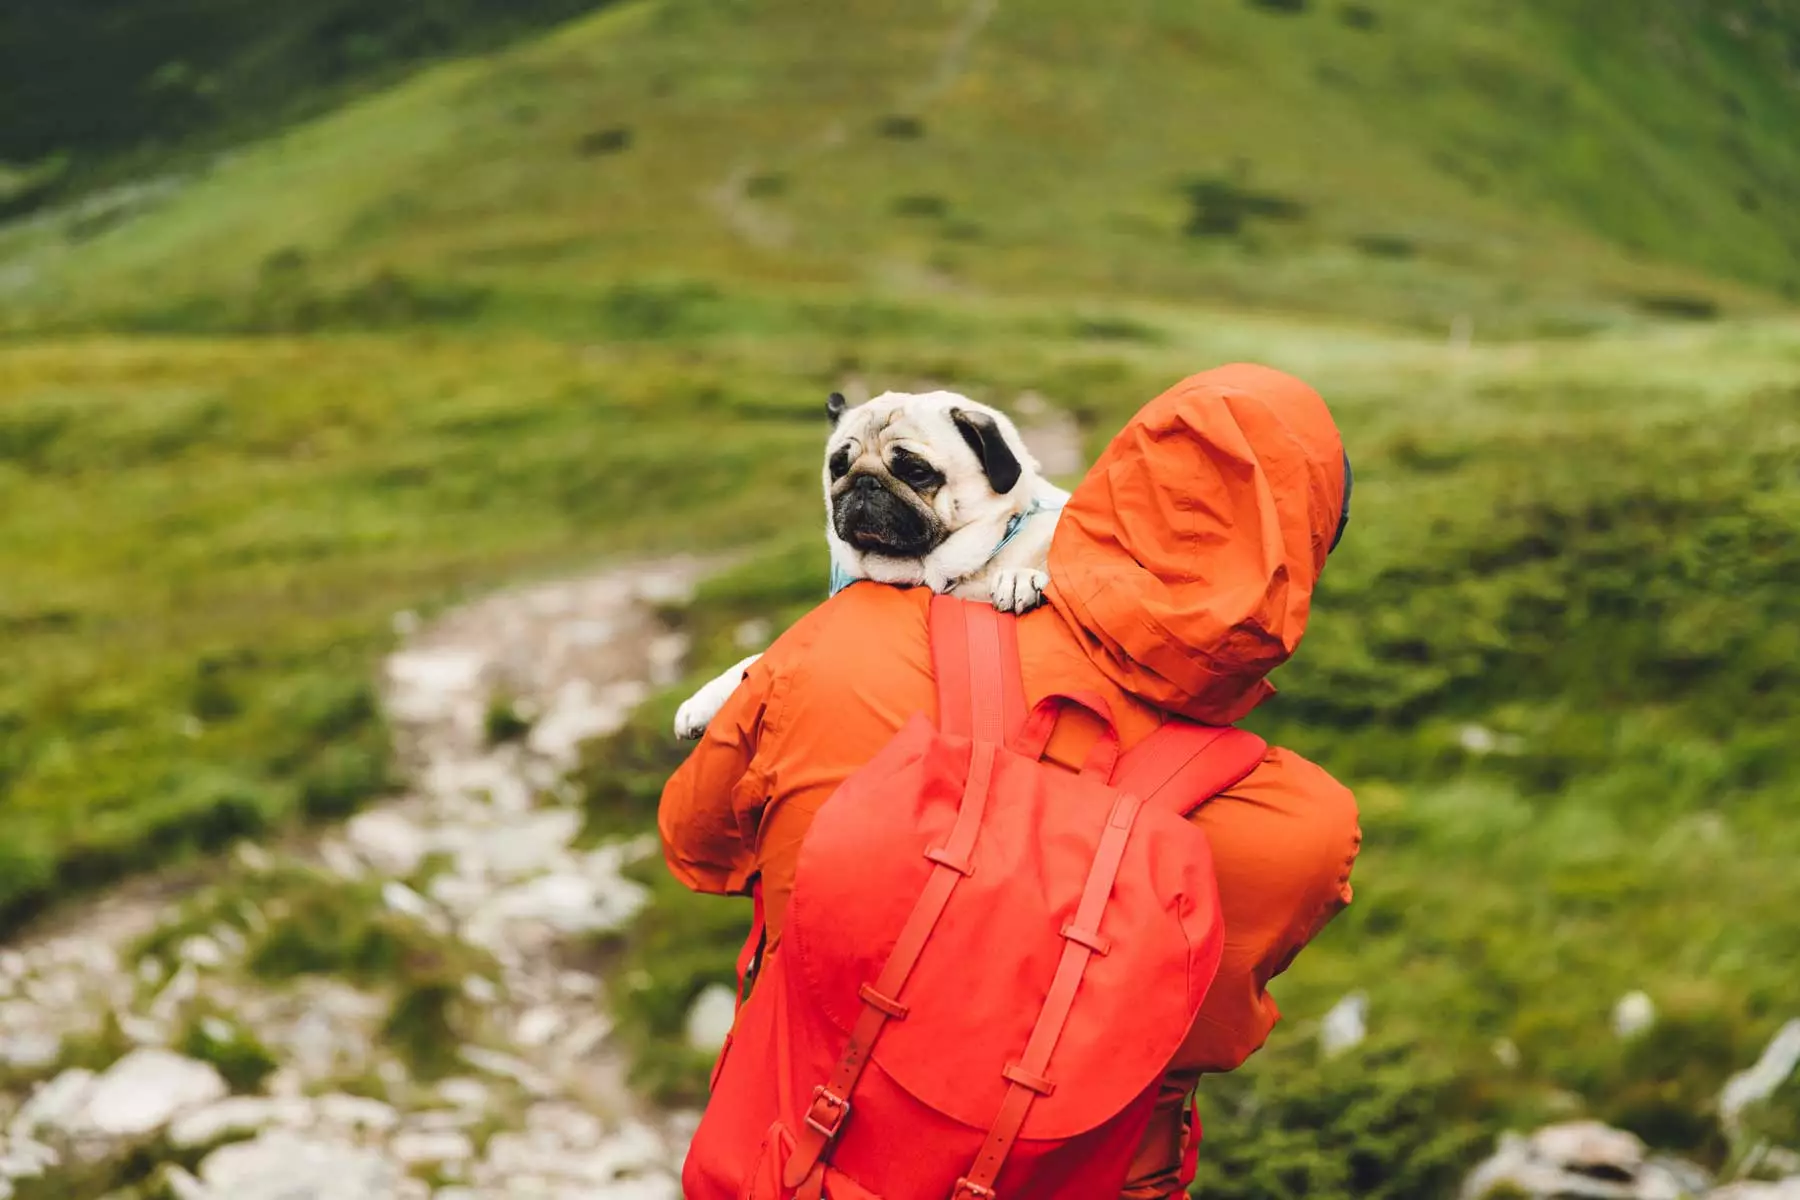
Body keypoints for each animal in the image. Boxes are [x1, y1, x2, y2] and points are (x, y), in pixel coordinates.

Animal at [676, 390, 1065, 737]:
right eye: (838, 467)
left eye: (917, 471)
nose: (865, 480)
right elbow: (756, 659)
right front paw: (704, 700)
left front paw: (1019, 577)